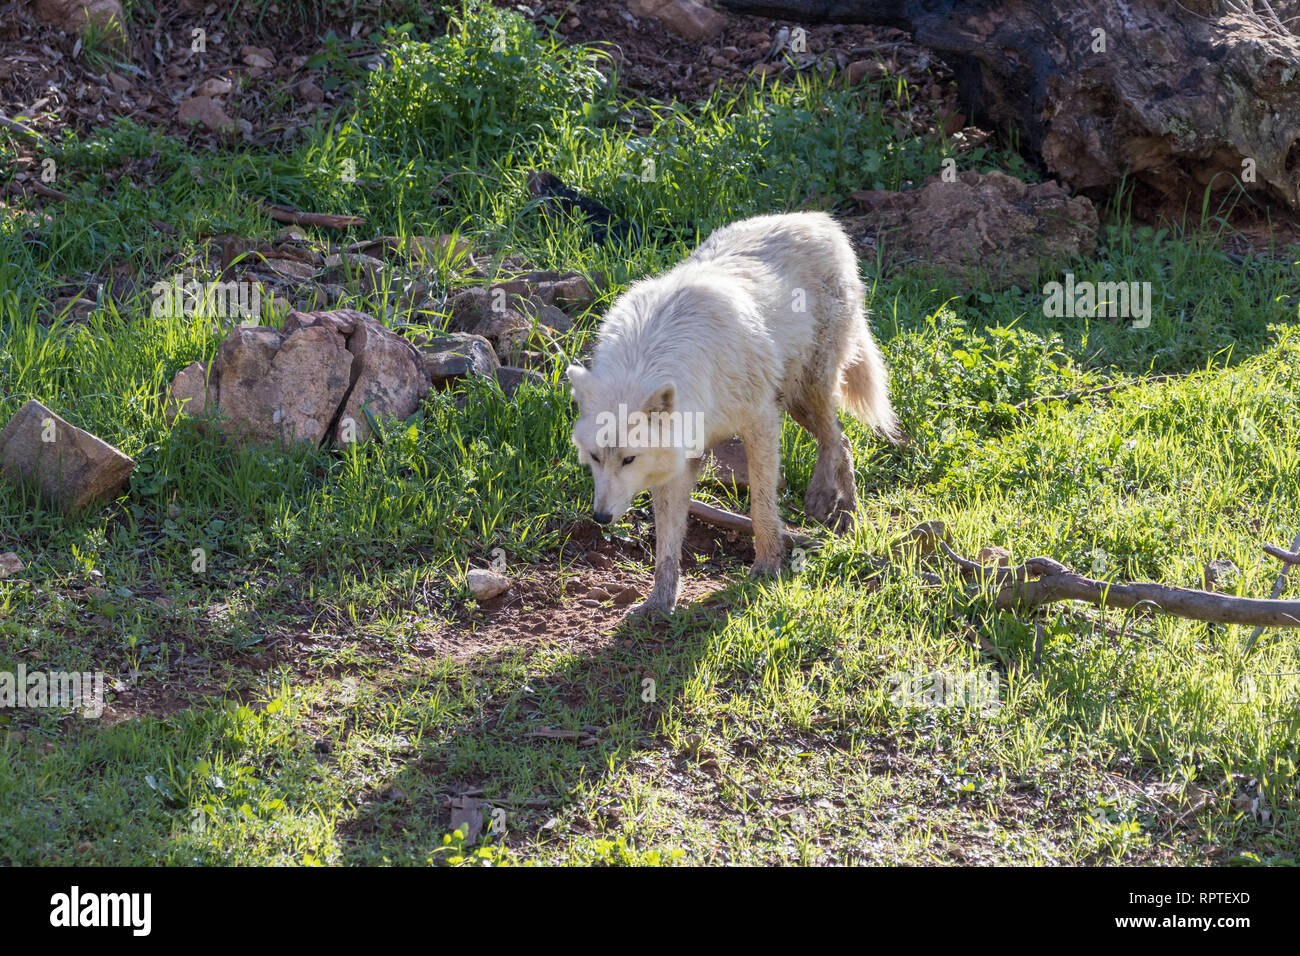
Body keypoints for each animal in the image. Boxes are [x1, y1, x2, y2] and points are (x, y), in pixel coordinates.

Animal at [567, 211, 901, 617]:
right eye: (595, 458)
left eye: (629, 459)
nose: (600, 517)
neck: (649, 355)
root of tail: (816, 219)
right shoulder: (681, 456)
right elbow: (667, 538)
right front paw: (659, 600)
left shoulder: (760, 421)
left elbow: (761, 504)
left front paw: (768, 564)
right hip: (796, 402)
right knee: (846, 440)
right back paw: (841, 510)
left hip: (807, 390)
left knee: (835, 439)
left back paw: (830, 503)